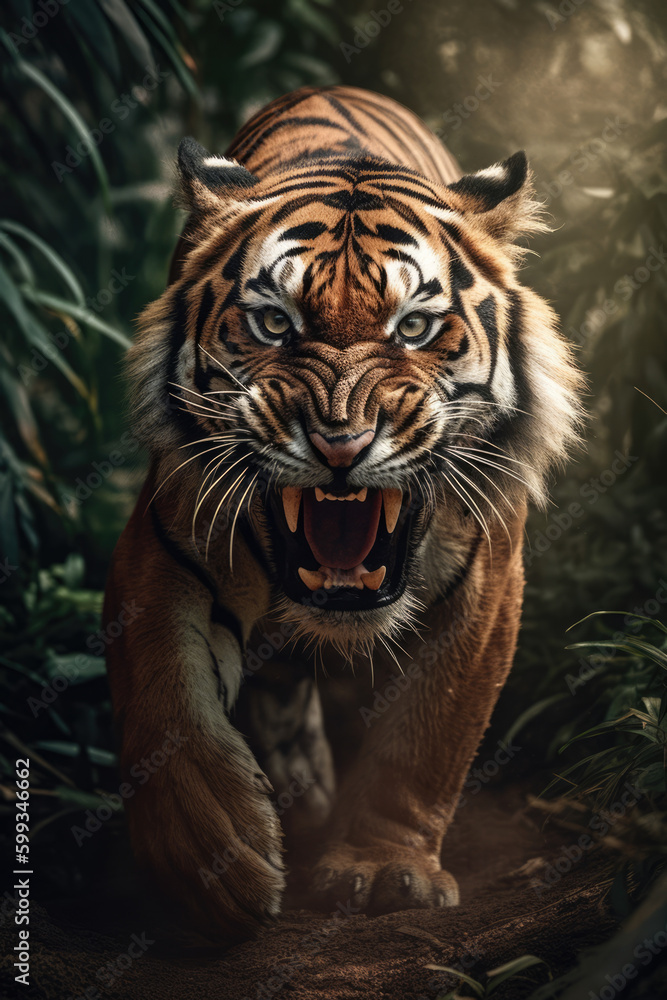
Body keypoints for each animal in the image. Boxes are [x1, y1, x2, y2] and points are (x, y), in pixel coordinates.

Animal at [104, 84, 582, 942]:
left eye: (414, 328)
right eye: (274, 323)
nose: (340, 443)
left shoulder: (487, 583)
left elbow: (425, 737)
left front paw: (382, 869)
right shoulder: (162, 543)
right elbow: (164, 701)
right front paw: (210, 856)